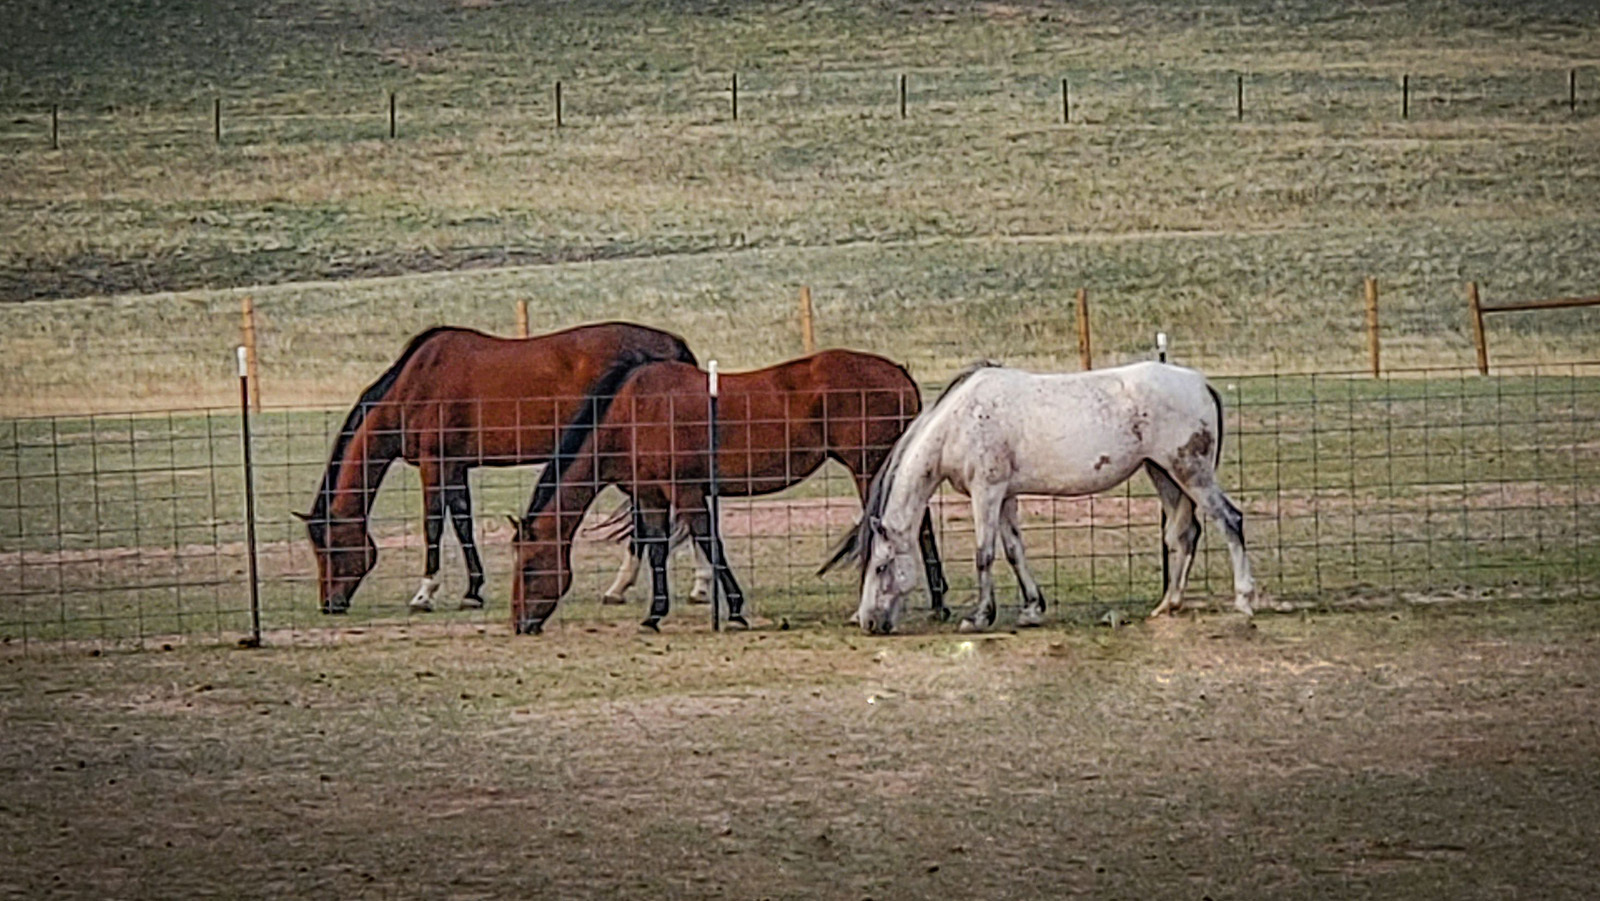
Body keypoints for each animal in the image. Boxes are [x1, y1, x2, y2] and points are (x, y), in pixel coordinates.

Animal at [295, 322, 697, 614]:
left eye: (329, 546)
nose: (329, 604)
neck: (413, 386)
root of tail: (672, 345)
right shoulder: (454, 467)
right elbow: (462, 523)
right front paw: (472, 591)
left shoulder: (434, 465)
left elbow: (432, 525)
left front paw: (424, 593)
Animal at [509, 349, 950, 635]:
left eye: (530, 567)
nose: (520, 623)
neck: (632, 413)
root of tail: (899, 374)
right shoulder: (652, 496)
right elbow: (656, 552)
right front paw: (654, 614)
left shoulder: (685, 492)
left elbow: (711, 543)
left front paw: (735, 609)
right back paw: (938, 602)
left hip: (868, 468)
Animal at [832, 360, 1258, 635]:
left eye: (881, 567)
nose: (868, 622)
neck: (959, 421)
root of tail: (1200, 383)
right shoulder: (1005, 497)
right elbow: (1013, 551)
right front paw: (1032, 609)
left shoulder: (986, 493)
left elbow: (984, 554)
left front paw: (980, 617)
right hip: (1163, 474)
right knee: (1184, 535)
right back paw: (1168, 604)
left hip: (1191, 473)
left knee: (1230, 520)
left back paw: (1244, 600)